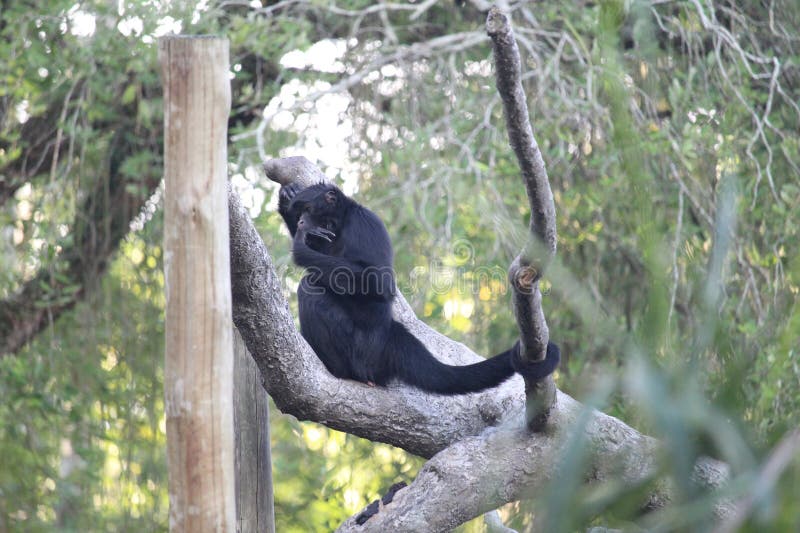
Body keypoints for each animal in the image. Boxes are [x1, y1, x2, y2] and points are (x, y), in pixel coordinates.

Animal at [278, 182, 559, 394]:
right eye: (300, 211)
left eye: (308, 209)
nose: (301, 220)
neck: (341, 223)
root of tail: (388, 336)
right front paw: (286, 198)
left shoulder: (364, 224)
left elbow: (380, 283)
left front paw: (300, 248)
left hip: (361, 352)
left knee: (311, 289)